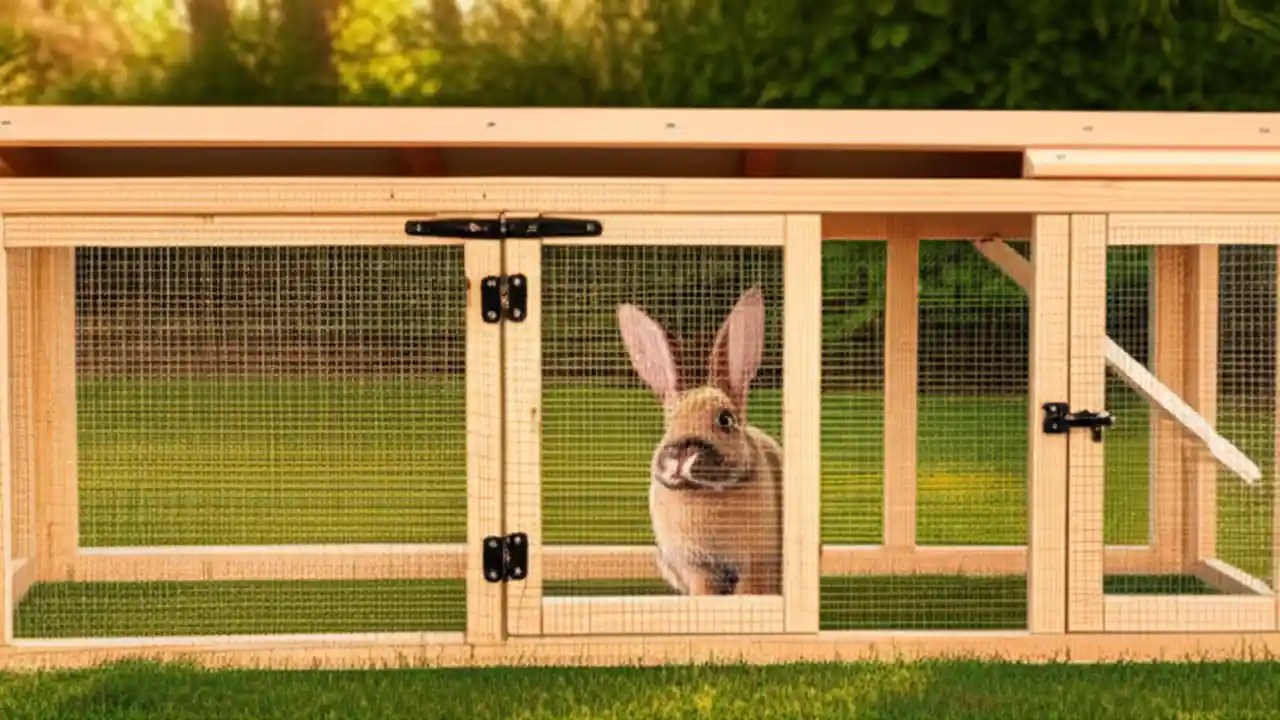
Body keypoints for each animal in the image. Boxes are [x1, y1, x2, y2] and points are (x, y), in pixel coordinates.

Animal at [616, 287, 783, 596]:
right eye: (670, 423)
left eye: (726, 420)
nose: (682, 452)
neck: (702, 493)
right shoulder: (696, 568)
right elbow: (703, 592)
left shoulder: (757, 563)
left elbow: (750, 592)